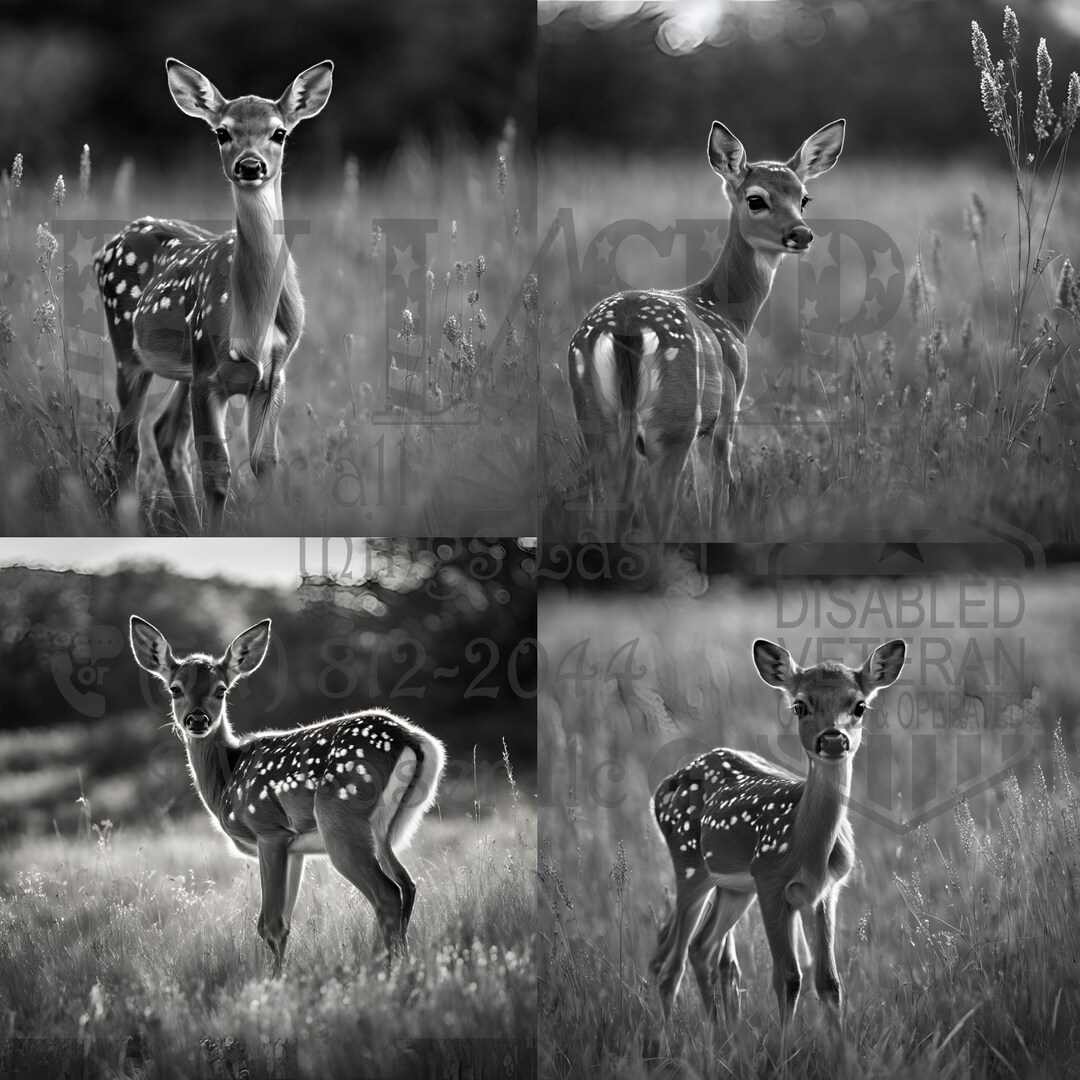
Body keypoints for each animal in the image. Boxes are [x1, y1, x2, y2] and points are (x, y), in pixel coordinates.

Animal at [95, 59, 334, 535]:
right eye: (222, 132)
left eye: (279, 132)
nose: (250, 165)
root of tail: (109, 244)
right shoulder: (208, 374)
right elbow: (218, 471)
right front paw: (215, 531)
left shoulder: (273, 377)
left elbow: (264, 463)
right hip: (129, 352)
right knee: (128, 442)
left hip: (180, 369)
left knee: (164, 434)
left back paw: (187, 524)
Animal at [129, 615, 445, 975]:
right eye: (175, 688)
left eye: (220, 690)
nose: (197, 719)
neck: (227, 780)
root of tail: (412, 738)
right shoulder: (296, 849)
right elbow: (286, 921)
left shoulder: (269, 831)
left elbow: (270, 924)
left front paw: (275, 980)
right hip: (386, 829)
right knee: (407, 884)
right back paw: (401, 964)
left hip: (340, 820)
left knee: (388, 894)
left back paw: (388, 972)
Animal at [568, 118, 845, 541]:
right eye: (756, 199)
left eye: (804, 198)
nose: (801, 234)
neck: (728, 314)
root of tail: (627, 329)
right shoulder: (729, 406)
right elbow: (718, 487)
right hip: (673, 420)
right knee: (658, 509)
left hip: (595, 419)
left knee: (609, 506)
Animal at [650, 638, 905, 1033]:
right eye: (800, 705)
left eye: (859, 705)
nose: (834, 740)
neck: (806, 847)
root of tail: (664, 786)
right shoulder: (769, 880)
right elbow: (787, 977)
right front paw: (785, 1046)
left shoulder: (825, 893)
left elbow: (829, 982)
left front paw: (841, 1044)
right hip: (690, 865)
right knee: (671, 964)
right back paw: (671, 1041)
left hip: (733, 889)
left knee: (701, 949)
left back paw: (720, 1036)